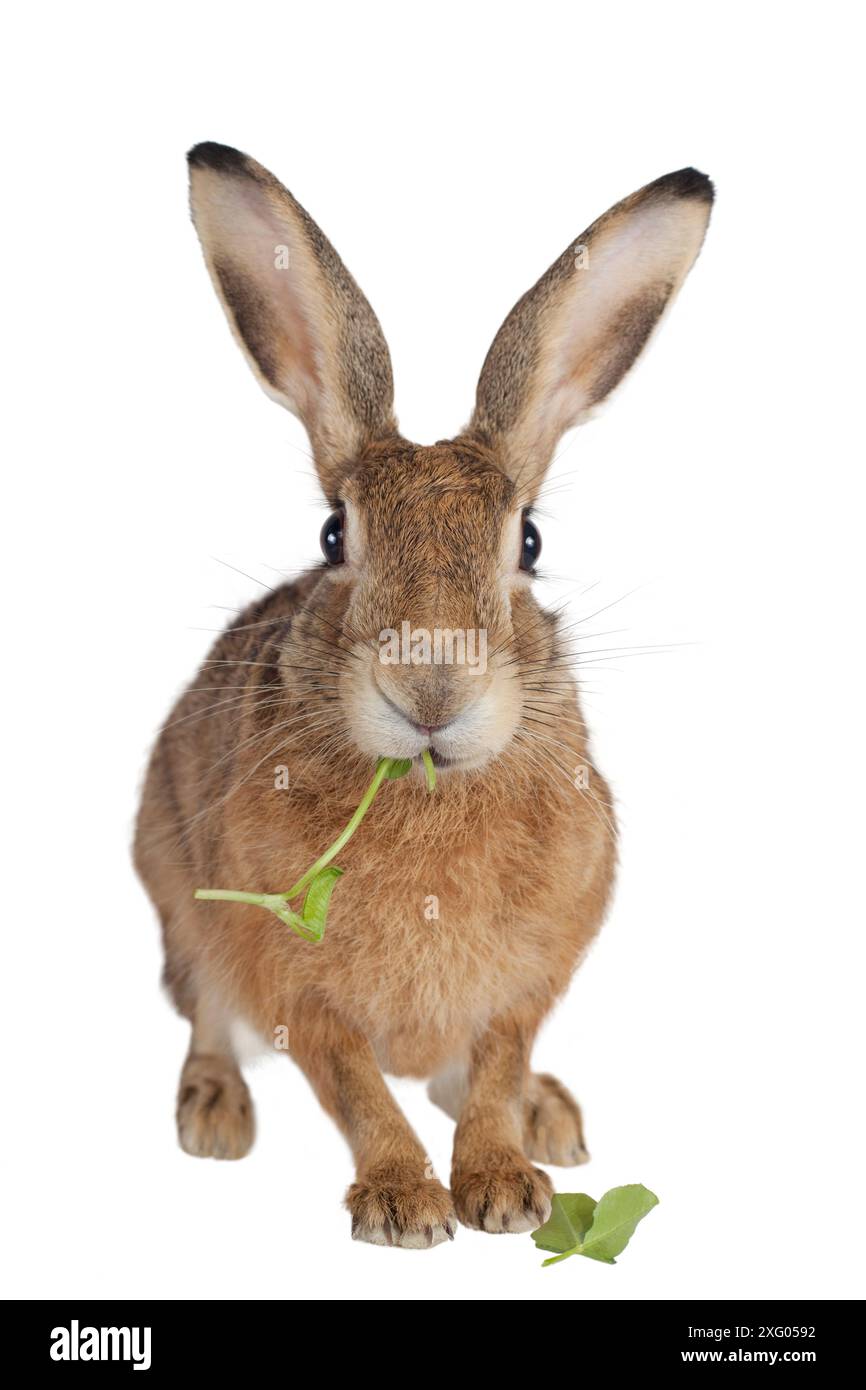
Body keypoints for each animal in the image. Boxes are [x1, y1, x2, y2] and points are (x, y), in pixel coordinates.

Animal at [134, 142, 713, 1247]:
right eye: (332, 536)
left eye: (529, 541)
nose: (430, 686)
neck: (427, 792)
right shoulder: (301, 986)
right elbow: (356, 1086)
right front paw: (405, 1203)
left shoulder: (526, 983)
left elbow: (491, 1068)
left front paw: (505, 1184)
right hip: (178, 901)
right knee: (200, 1010)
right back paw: (213, 1113)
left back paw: (551, 1118)